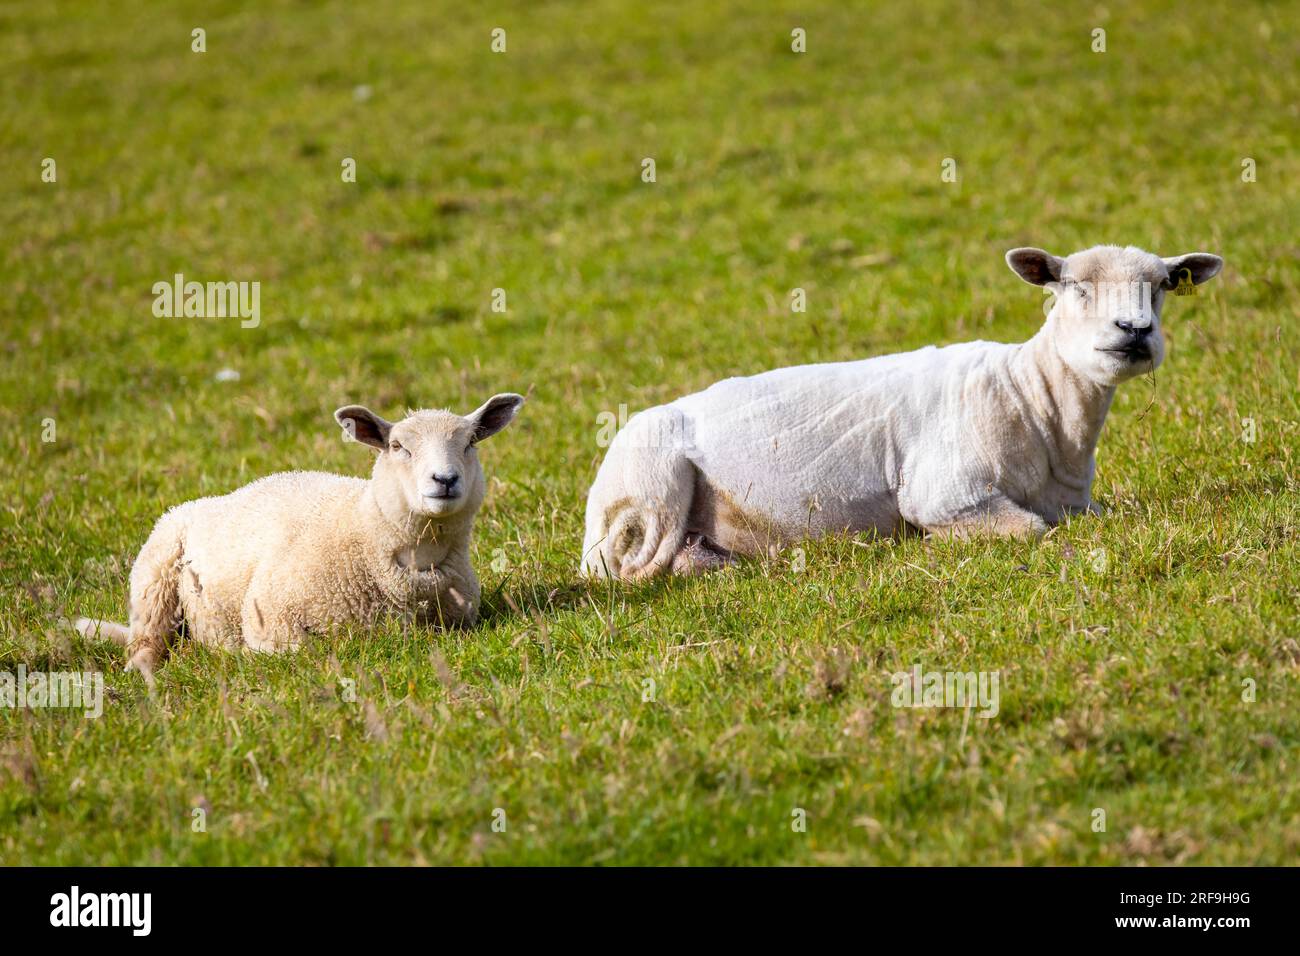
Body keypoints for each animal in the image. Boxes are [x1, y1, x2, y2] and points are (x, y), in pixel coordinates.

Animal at [74, 393, 525, 676]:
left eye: (470, 443)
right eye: (398, 446)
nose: (444, 480)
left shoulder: (459, 621)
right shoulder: (270, 618)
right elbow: (299, 652)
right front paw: (243, 654)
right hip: (154, 577)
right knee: (146, 641)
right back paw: (144, 668)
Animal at [580, 245, 1223, 579]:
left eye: (1163, 286)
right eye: (1074, 287)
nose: (1135, 331)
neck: (1032, 397)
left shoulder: (1080, 506)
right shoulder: (946, 494)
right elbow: (1029, 531)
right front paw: (928, 544)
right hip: (645, 499)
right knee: (638, 566)